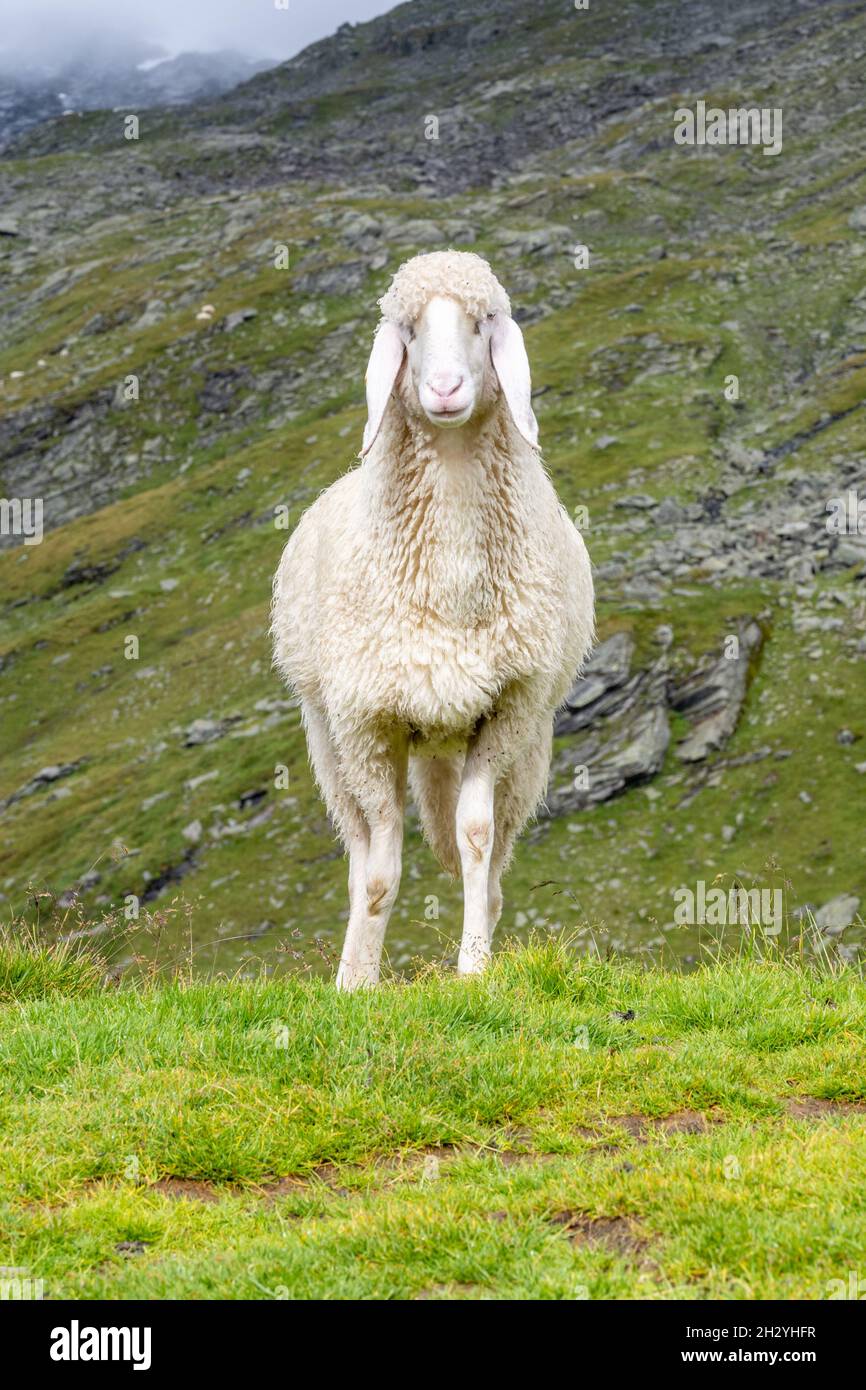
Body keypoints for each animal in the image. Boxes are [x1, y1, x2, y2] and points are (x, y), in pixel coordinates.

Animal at [271, 250, 594, 989]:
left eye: (483, 322)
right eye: (409, 329)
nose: (445, 389)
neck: (448, 581)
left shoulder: (508, 709)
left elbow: (474, 840)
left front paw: (473, 966)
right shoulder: (367, 722)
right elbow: (380, 870)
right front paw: (356, 983)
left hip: (525, 751)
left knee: (494, 861)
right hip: (328, 741)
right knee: (360, 850)